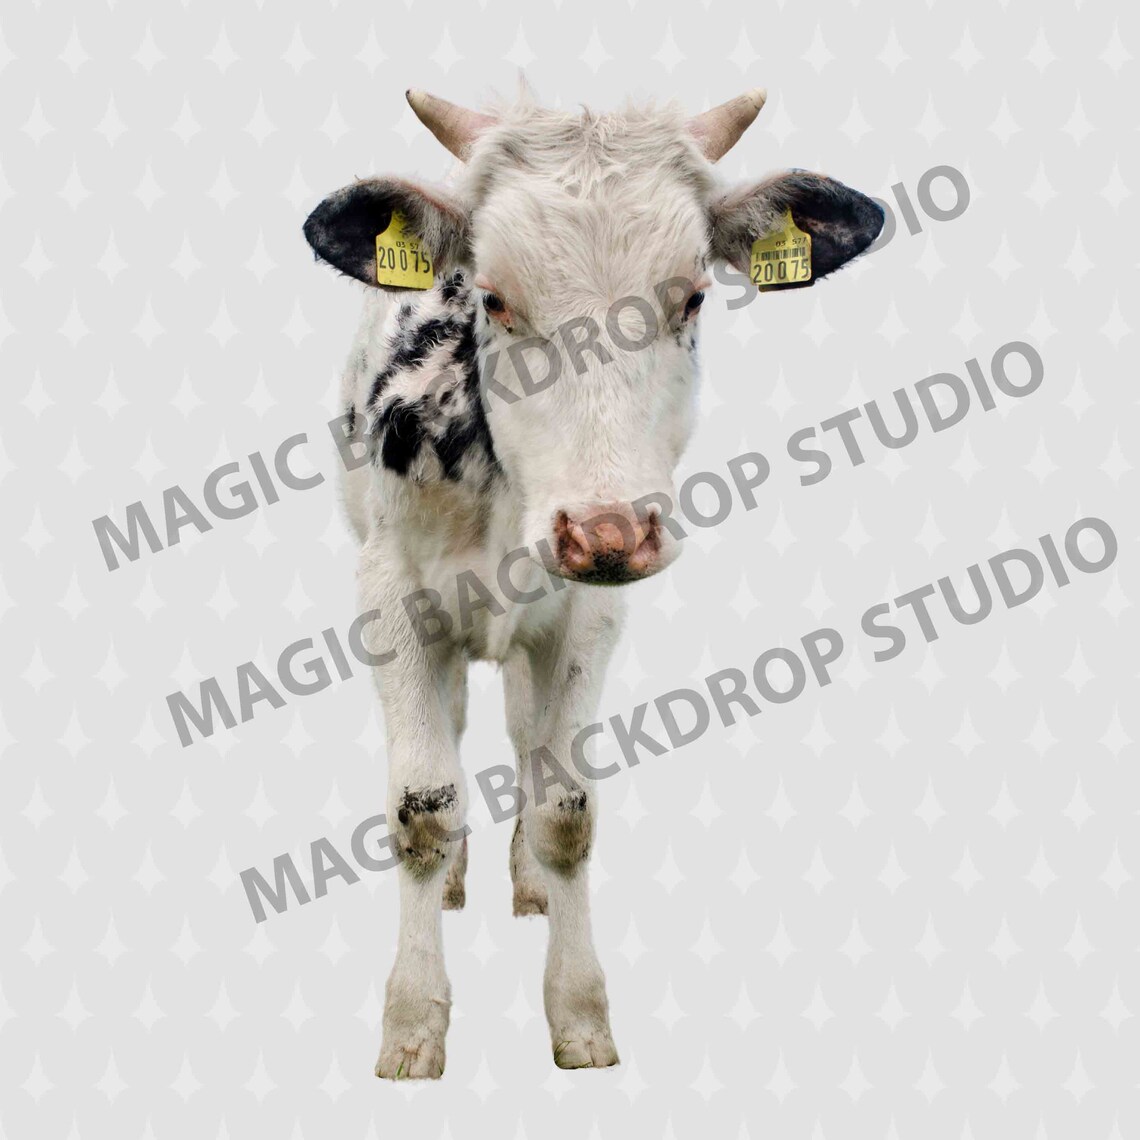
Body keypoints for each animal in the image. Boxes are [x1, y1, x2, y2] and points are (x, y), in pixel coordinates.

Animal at [302, 86, 883, 1079]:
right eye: (493, 298)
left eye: (694, 296)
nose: (606, 528)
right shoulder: (389, 597)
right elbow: (422, 807)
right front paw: (413, 1021)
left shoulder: (590, 611)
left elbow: (566, 807)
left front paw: (578, 1012)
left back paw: (526, 884)